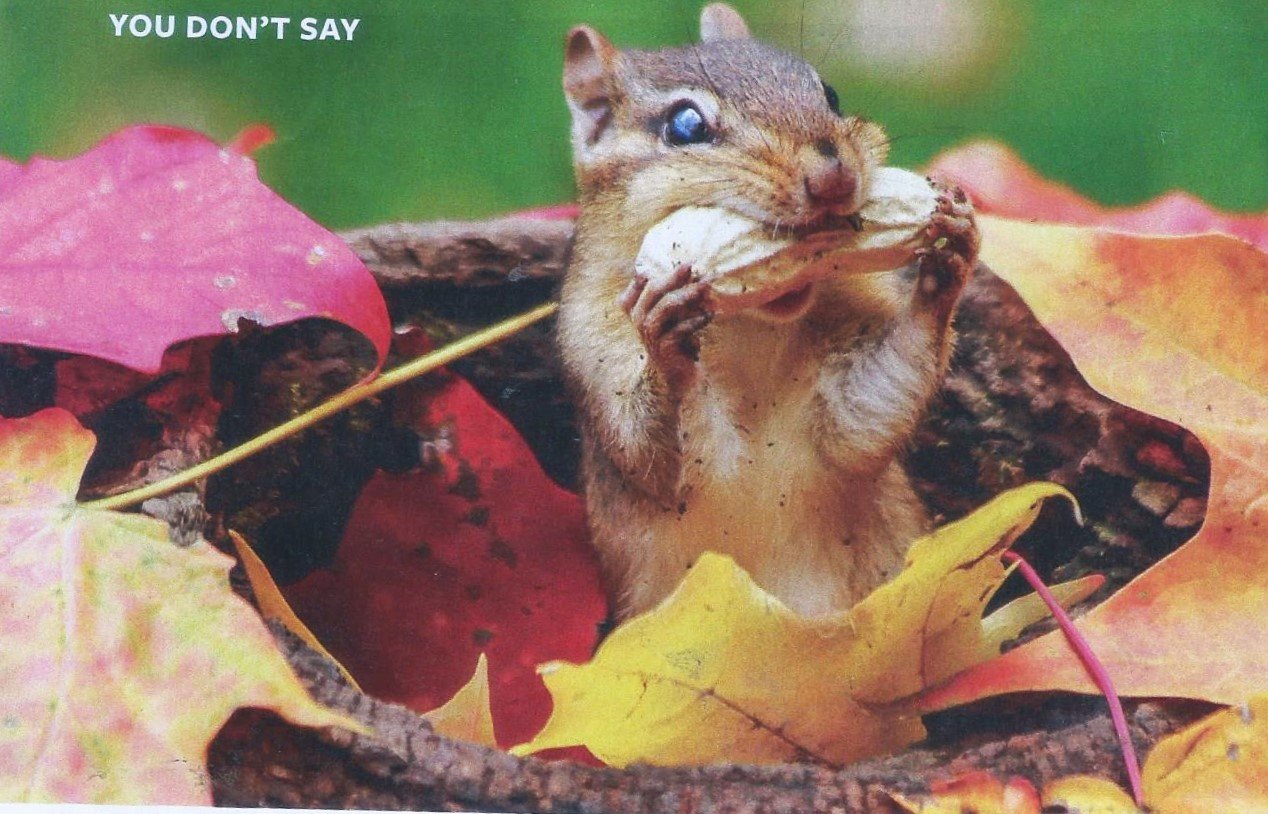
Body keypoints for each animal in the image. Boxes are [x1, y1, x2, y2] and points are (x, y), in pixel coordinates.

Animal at [556, 3, 979, 621]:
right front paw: (666, 338)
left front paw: (947, 261)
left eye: (829, 92)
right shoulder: (596, 349)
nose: (833, 176)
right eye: (686, 126)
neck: (751, 329)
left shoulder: (846, 385)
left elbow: (869, 414)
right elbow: (656, 457)